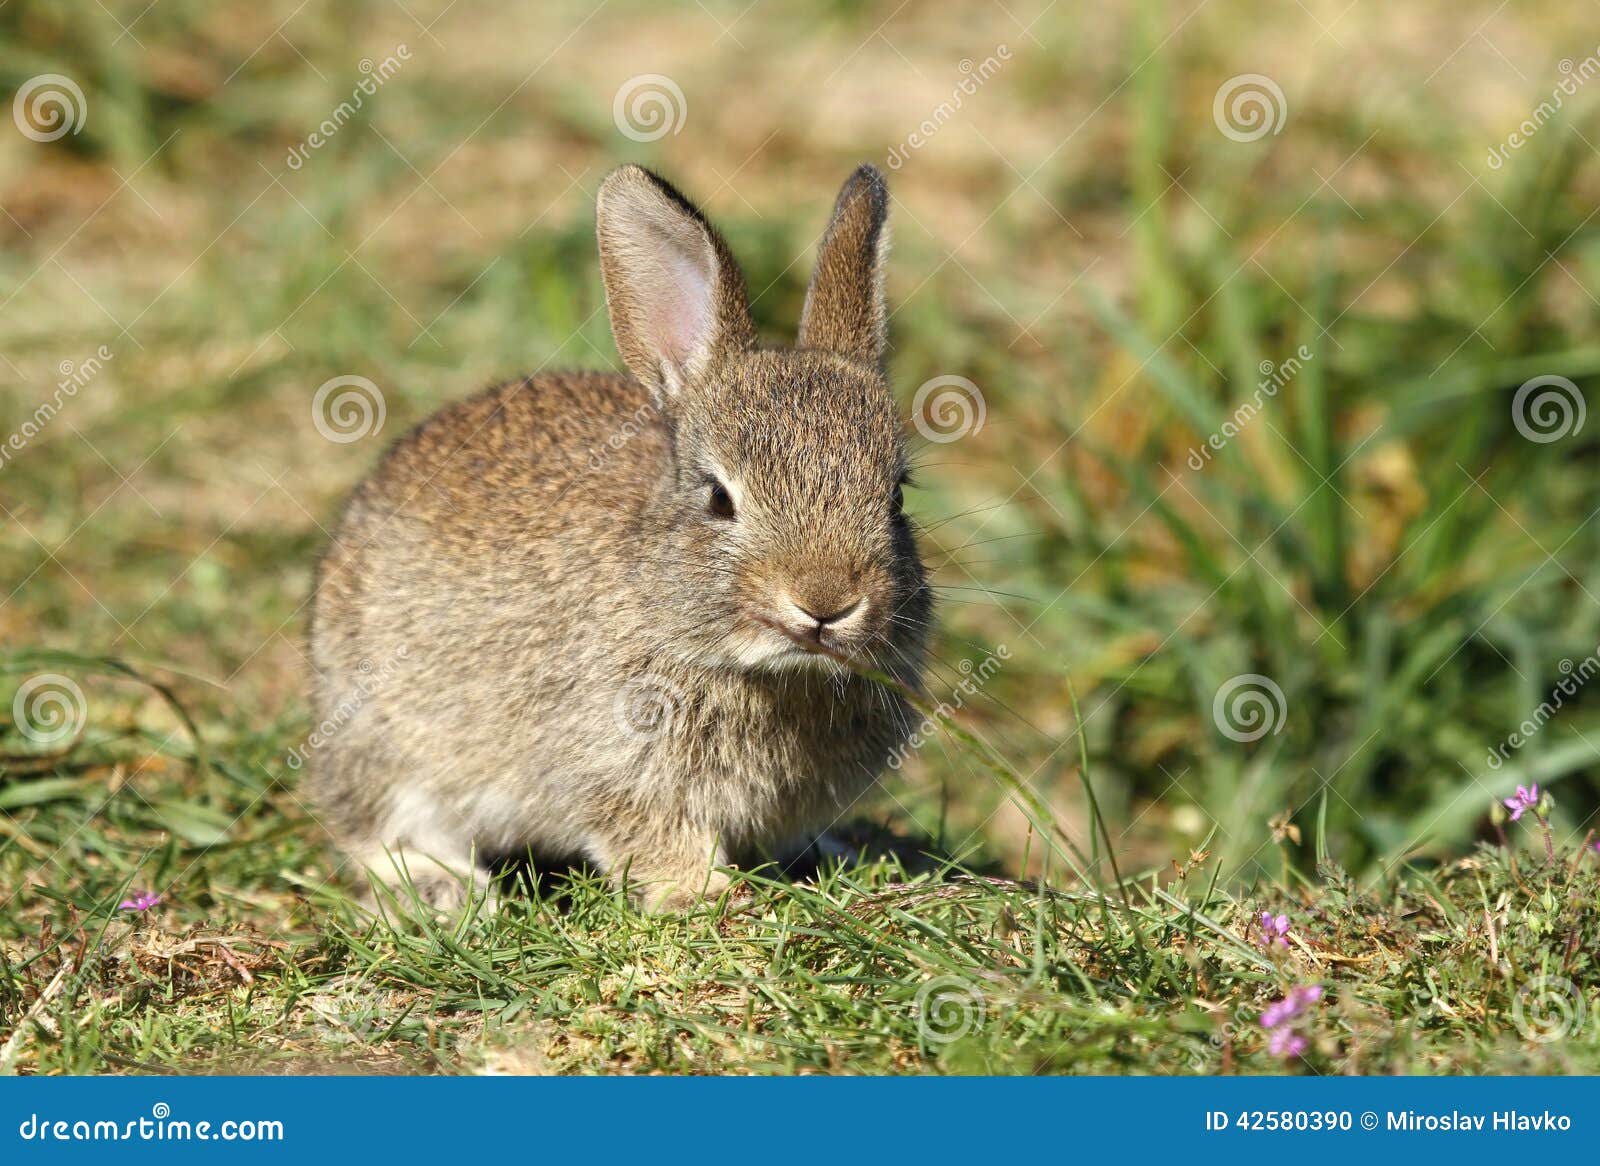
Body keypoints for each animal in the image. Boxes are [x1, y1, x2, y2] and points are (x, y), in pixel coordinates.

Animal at [306, 162, 932, 913]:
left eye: (897, 496)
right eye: (719, 499)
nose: (825, 603)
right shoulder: (616, 769)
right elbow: (650, 832)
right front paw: (705, 894)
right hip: (384, 737)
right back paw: (442, 888)